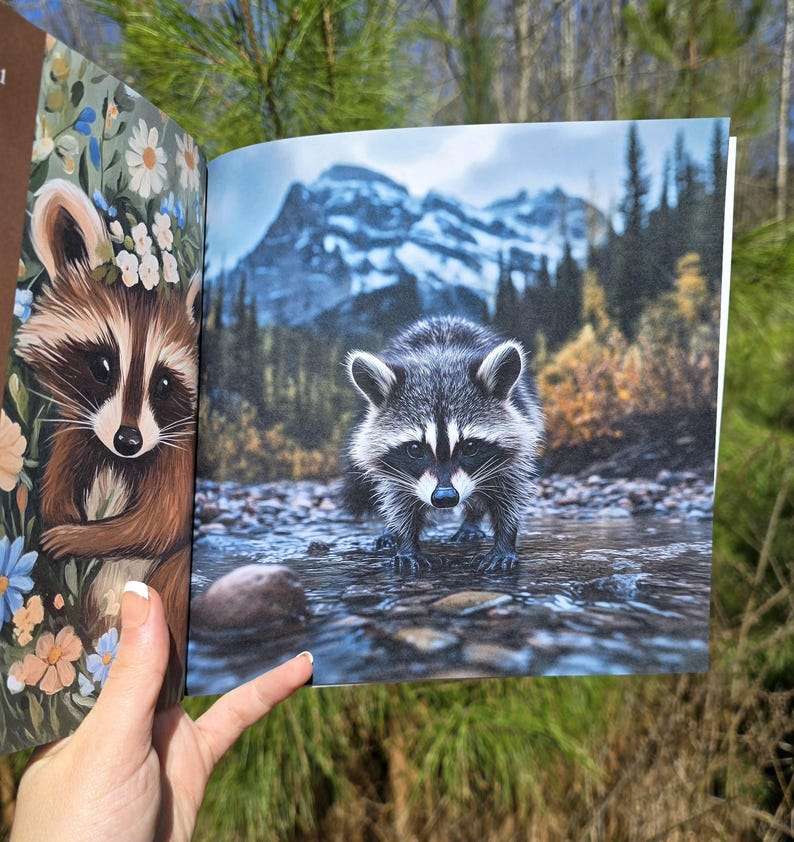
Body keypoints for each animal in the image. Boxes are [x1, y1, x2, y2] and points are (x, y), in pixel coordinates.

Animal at [15, 179, 199, 705]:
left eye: (164, 383)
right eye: (102, 366)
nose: (129, 440)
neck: (119, 460)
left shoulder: (178, 452)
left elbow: (162, 521)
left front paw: (87, 536)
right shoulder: (80, 429)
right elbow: (58, 479)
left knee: (172, 575)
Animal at [344, 316, 543, 570]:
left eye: (470, 447)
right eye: (415, 449)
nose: (445, 498)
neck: (439, 360)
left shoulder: (514, 449)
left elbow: (510, 494)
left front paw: (505, 541)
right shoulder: (395, 468)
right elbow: (398, 500)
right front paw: (405, 542)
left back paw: (470, 521)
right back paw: (389, 531)